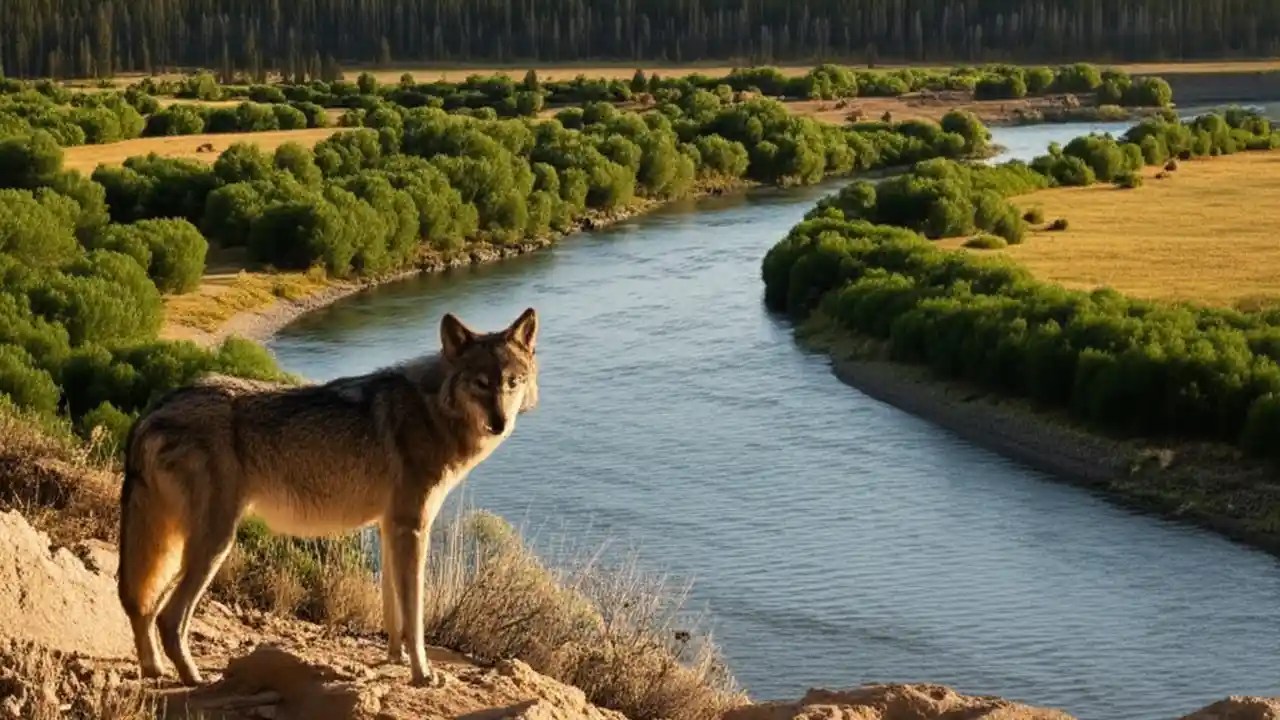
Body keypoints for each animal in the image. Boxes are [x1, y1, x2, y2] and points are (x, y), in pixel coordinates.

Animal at [117, 308, 540, 687]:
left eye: (512, 382)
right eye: (481, 383)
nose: (500, 423)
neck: (432, 410)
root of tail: (152, 411)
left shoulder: (389, 528)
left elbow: (394, 612)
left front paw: (394, 658)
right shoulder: (412, 529)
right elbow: (416, 616)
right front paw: (422, 674)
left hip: (177, 545)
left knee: (140, 604)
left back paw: (154, 670)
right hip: (214, 544)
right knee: (167, 617)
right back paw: (194, 679)